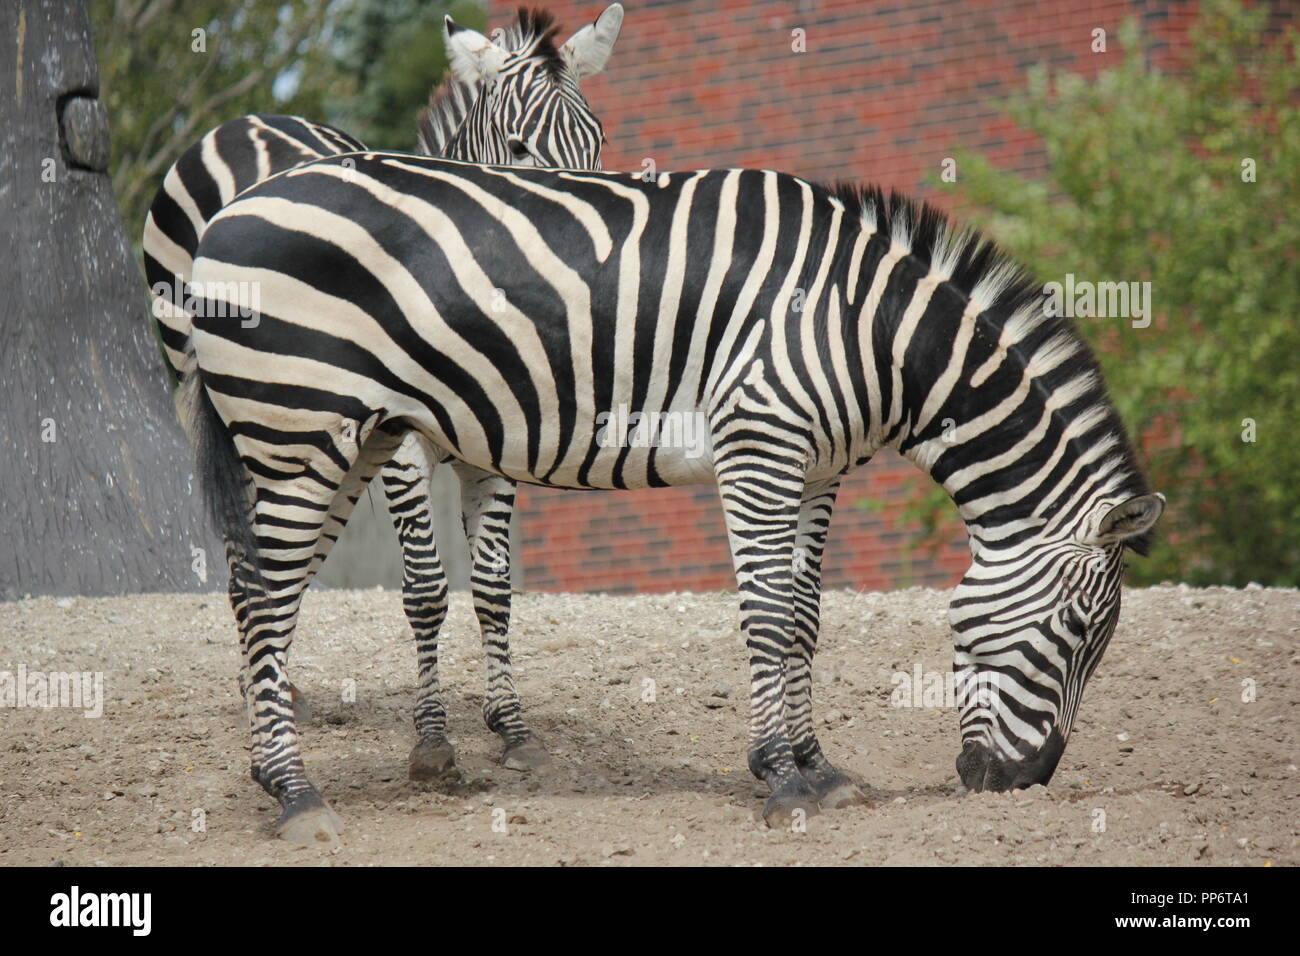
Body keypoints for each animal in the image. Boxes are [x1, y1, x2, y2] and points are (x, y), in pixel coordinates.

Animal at [143, 4, 625, 777]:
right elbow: (426, 588)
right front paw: (431, 741)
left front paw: (512, 727)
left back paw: (277, 690)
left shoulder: (495, 450)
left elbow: (494, 586)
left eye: (597, 140)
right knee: (250, 551)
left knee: (295, 551)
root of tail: (248, 120)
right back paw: (258, 700)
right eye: (518, 148)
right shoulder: (399, 445)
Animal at [180, 154, 1164, 843]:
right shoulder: (759, 445)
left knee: (255, 595)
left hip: (355, 436)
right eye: (1079, 632)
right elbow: (766, 615)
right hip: (298, 429)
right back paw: (298, 796)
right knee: (265, 600)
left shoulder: (819, 469)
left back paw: (279, 776)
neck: (873, 331)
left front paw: (820, 767)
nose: (1026, 783)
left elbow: (805, 616)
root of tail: (237, 205)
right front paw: (781, 778)